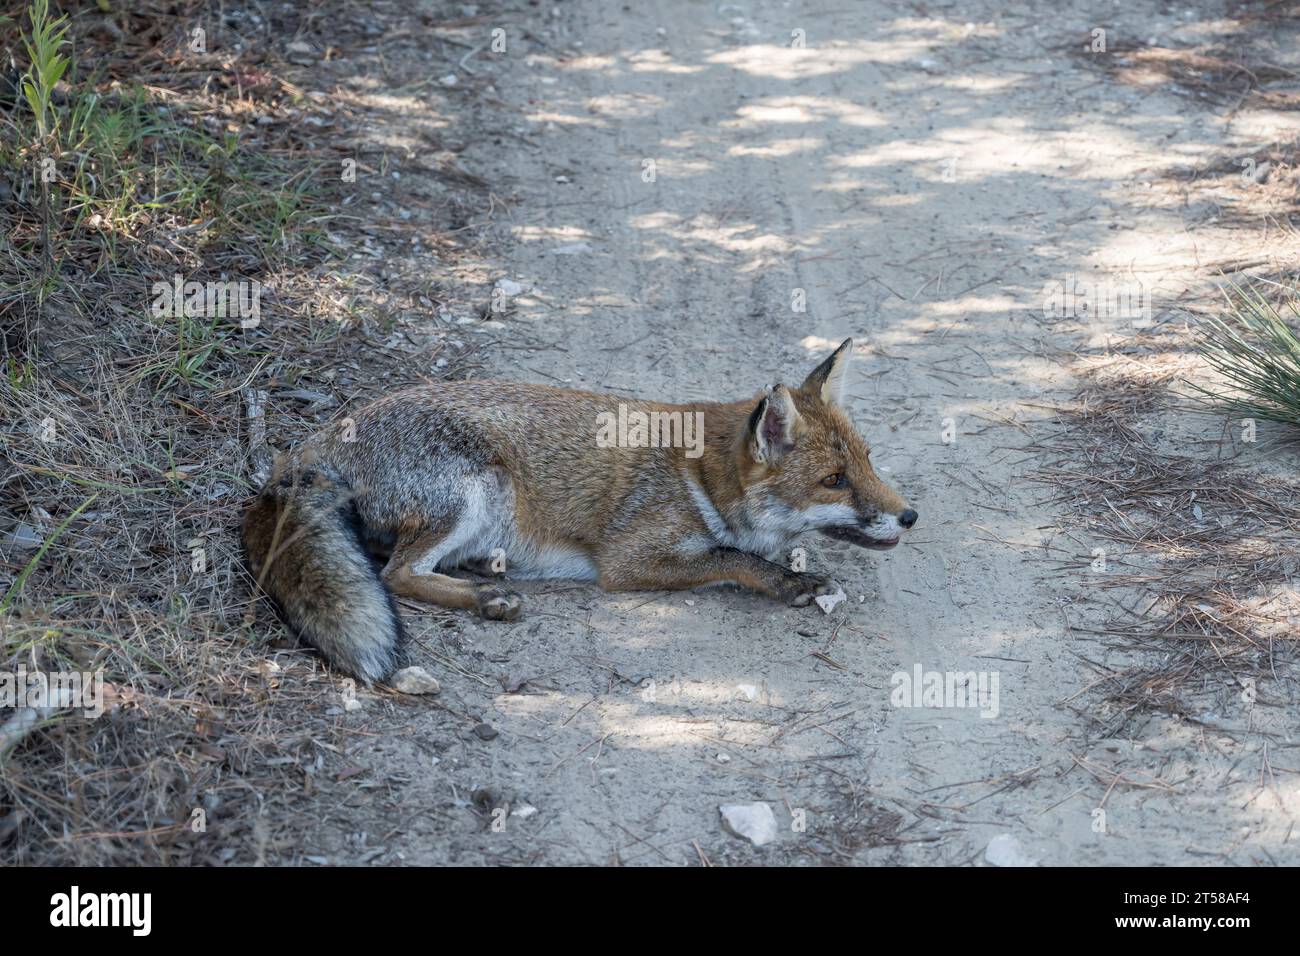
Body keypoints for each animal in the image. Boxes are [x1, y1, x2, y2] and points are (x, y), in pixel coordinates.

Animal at [242, 338, 917, 683]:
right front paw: (789, 582)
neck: (702, 477)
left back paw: (487, 583)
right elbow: (733, 559)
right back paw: (488, 599)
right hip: (477, 490)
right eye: (833, 481)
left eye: (867, 463)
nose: (910, 517)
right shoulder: (629, 561)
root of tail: (318, 441)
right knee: (394, 574)